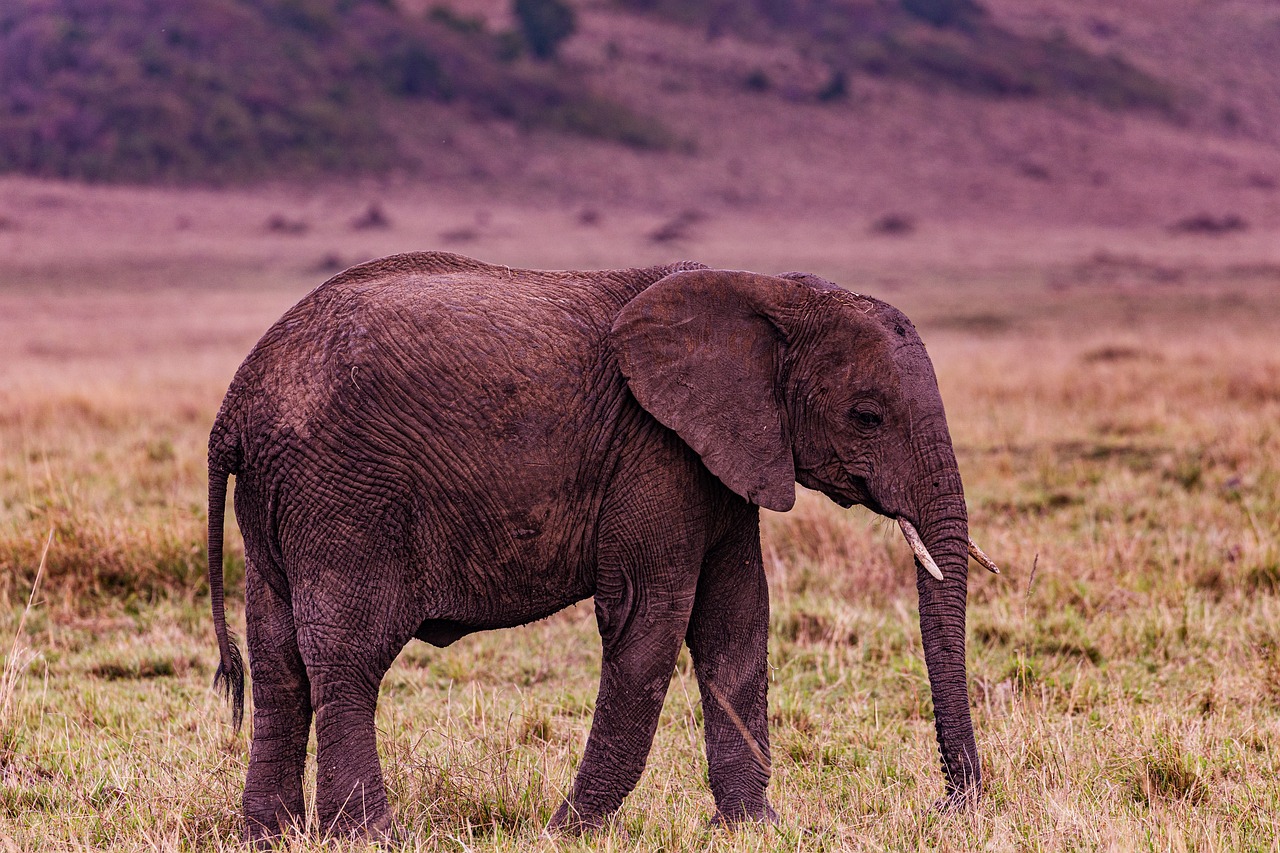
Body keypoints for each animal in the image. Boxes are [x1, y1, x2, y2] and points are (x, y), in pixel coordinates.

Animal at [206, 251, 997, 842]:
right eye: (866, 415)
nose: (949, 805)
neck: (769, 290)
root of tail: (236, 400)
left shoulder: (722, 453)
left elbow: (738, 623)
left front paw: (755, 828)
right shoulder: (655, 450)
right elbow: (650, 621)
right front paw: (567, 832)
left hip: (285, 500)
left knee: (278, 658)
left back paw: (270, 837)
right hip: (345, 492)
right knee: (347, 654)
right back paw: (369, 836)